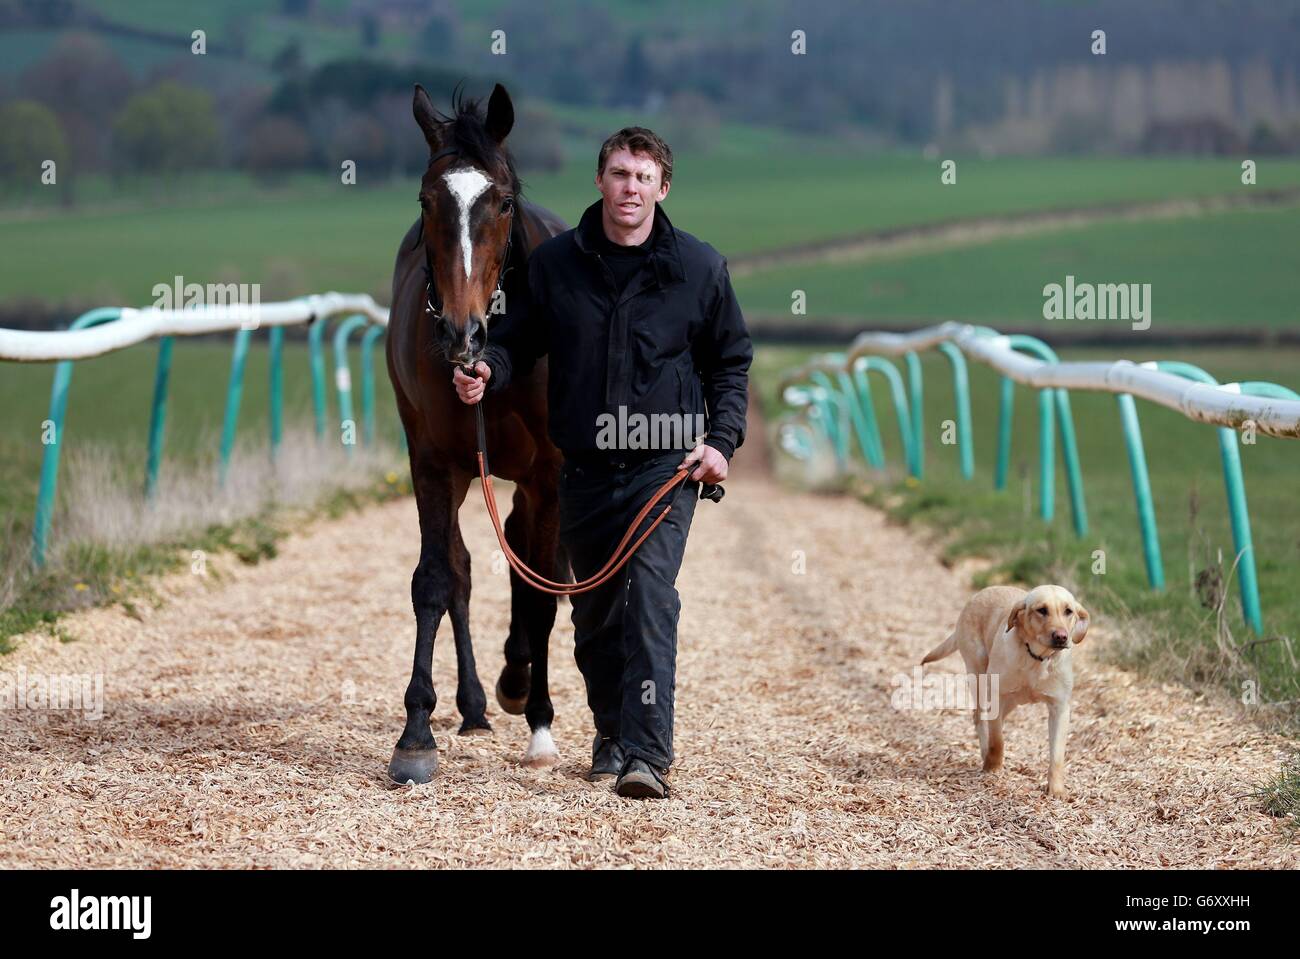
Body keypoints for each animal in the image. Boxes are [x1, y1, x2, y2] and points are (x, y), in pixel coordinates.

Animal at [385, 82, 568, 784]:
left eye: (504, 201)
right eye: (426, 200)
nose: (461, 333)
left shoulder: (550, 473)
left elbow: (540, 593)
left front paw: (541, 724)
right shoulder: (434, 463)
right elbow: (436, 579)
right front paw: (415, 733)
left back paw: (516, 687)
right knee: (464, 568)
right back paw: (473, 705)